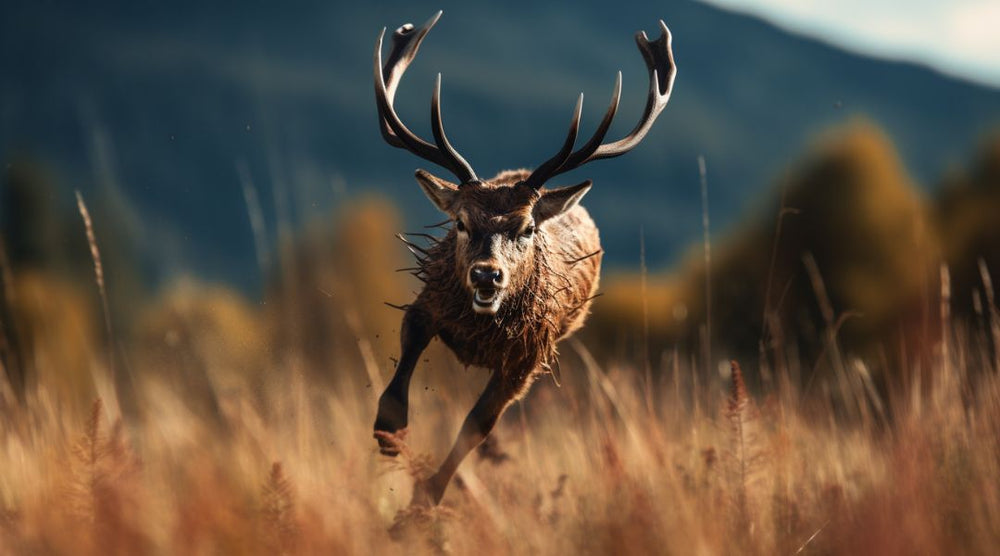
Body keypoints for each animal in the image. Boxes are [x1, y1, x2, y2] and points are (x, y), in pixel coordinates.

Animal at [372, 11, 676, 506]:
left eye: (527, 228)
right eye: (461, 223)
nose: (486, 275)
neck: (481, 333)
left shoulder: (528, 357)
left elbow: (477, 426)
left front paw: (423, 502)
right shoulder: (430, 300)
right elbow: (404, 365)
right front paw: (391, 437)